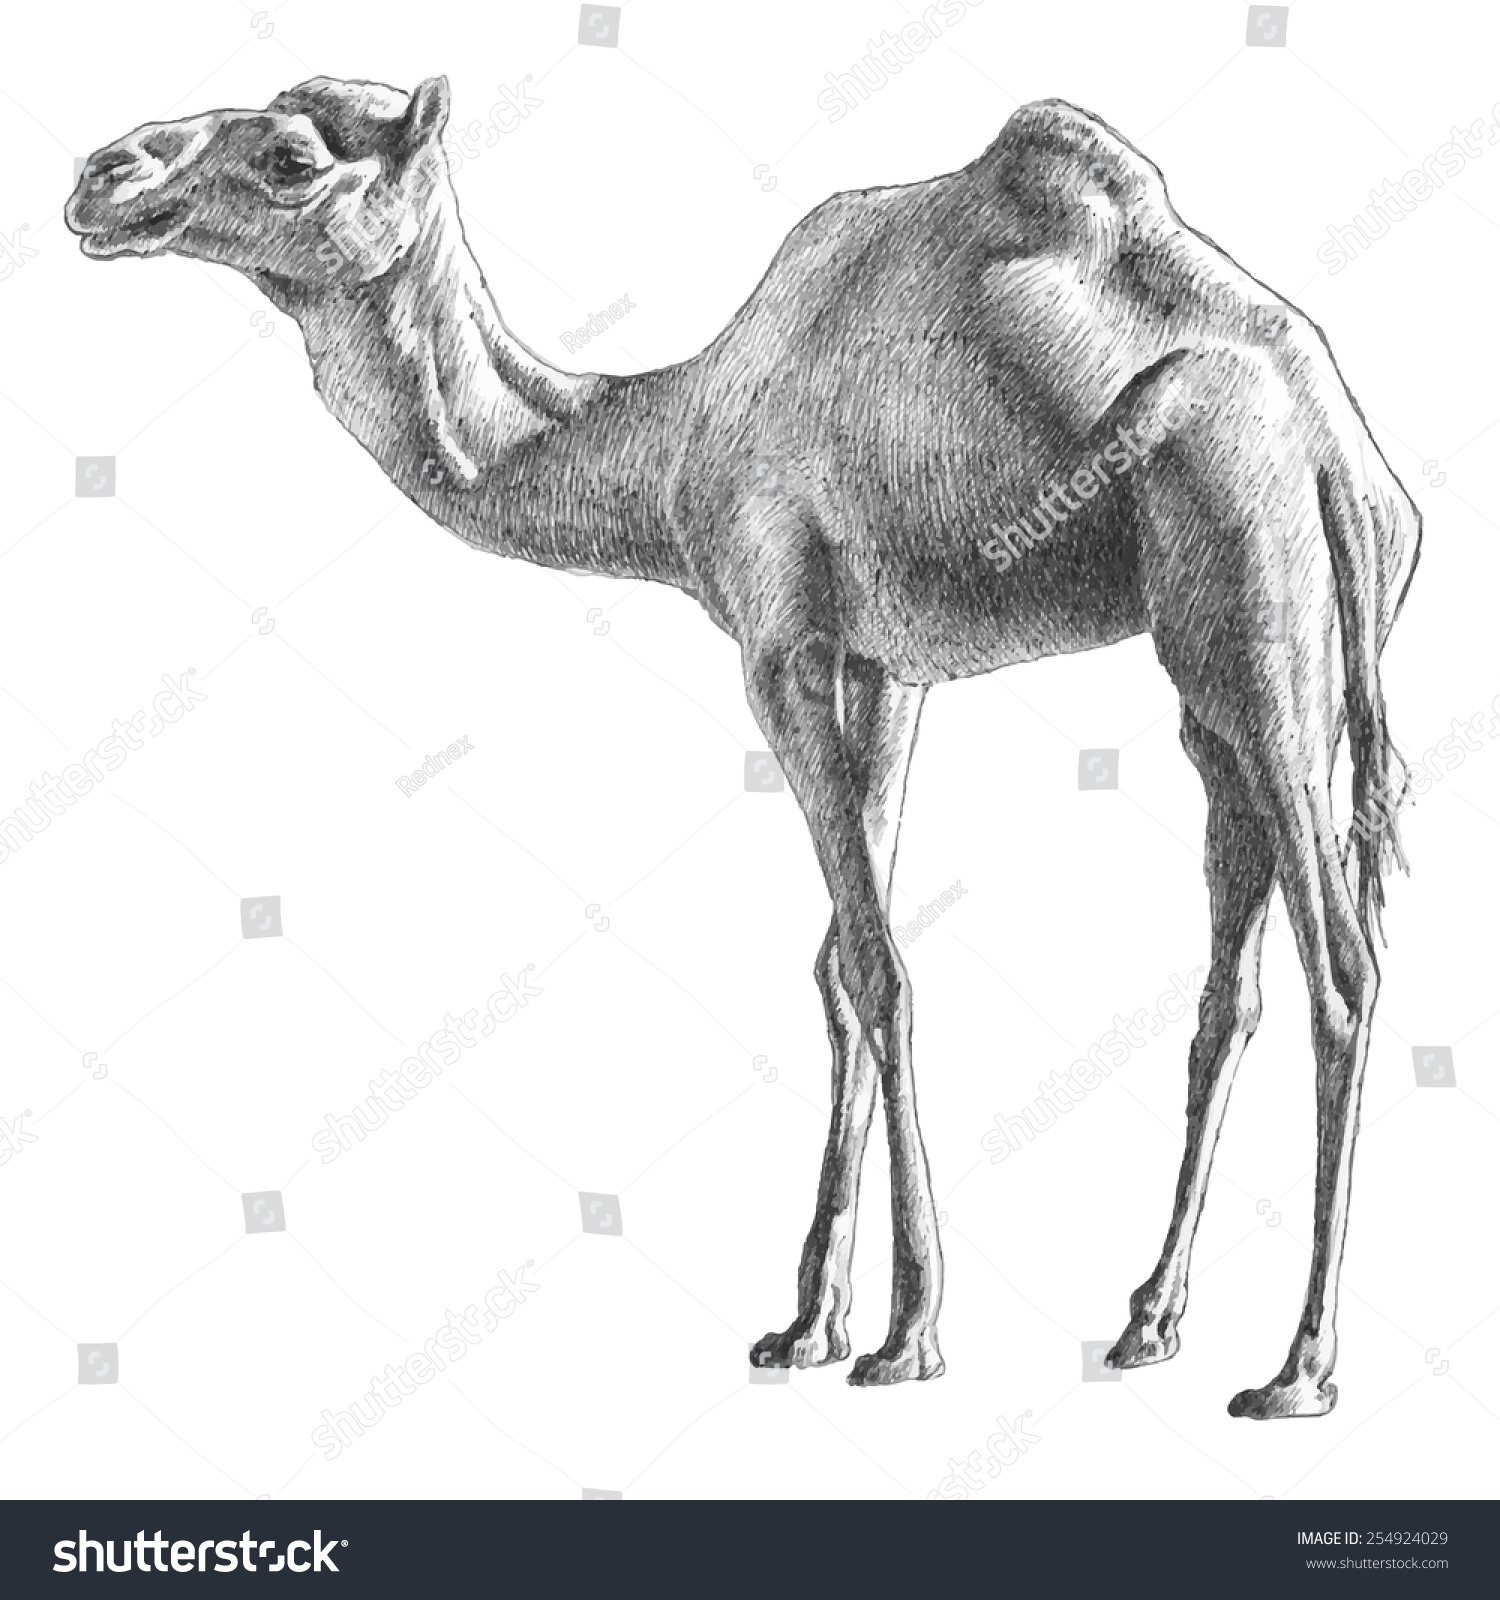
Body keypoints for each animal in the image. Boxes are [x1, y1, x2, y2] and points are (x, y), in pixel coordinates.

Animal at [66, 76, 1420, 1416]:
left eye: (291, 160)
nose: (102, 174)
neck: (672, 440)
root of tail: (1342, 456)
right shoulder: (883, 662)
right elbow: (834, 968)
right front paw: (807, 1322)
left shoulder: (780, 647)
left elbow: (877, 968)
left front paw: (908, 1333)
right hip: (1231, 673)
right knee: (1230, 982)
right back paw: (1149, 1321)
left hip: (1253, 613)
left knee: (1344, 967)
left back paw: (1299, 1367)